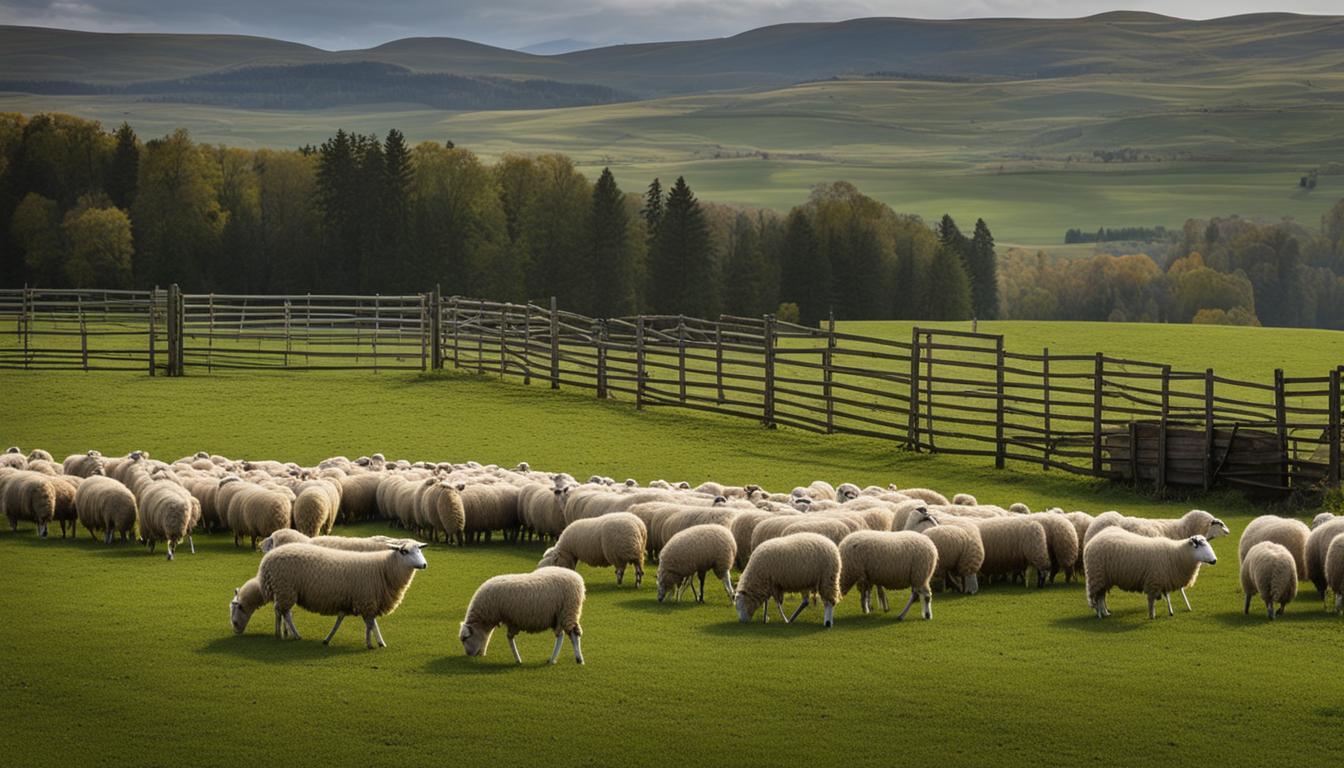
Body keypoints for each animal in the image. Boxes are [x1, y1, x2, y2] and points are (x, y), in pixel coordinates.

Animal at [231, 540, 428, 648]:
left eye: (419, 550)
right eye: (404, 551)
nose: (424, 565)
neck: (384, 568)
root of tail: (267, 560)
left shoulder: (368, 600)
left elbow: (370, 623)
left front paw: (378, 642)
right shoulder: (366, 599)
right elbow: (370, 623)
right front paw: (373, 643)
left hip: (283, 591)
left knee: (280, 612)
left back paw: (281, 633)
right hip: (285, 589)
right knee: (286, 613)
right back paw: (294, 634)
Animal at [1083, 528, 1218, 619]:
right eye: (1200, 545)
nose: (1214, 560)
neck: (1177, 554)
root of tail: (1095, 538)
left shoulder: (1162, 580)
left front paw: (1169, 612)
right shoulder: (1154, 581)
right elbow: (1152, 600)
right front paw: (1152, 616)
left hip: (1105, 578)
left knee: (1101, 596)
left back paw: (1105, 613)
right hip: (1097, 575)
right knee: (1097, 596)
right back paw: (1100, 614)